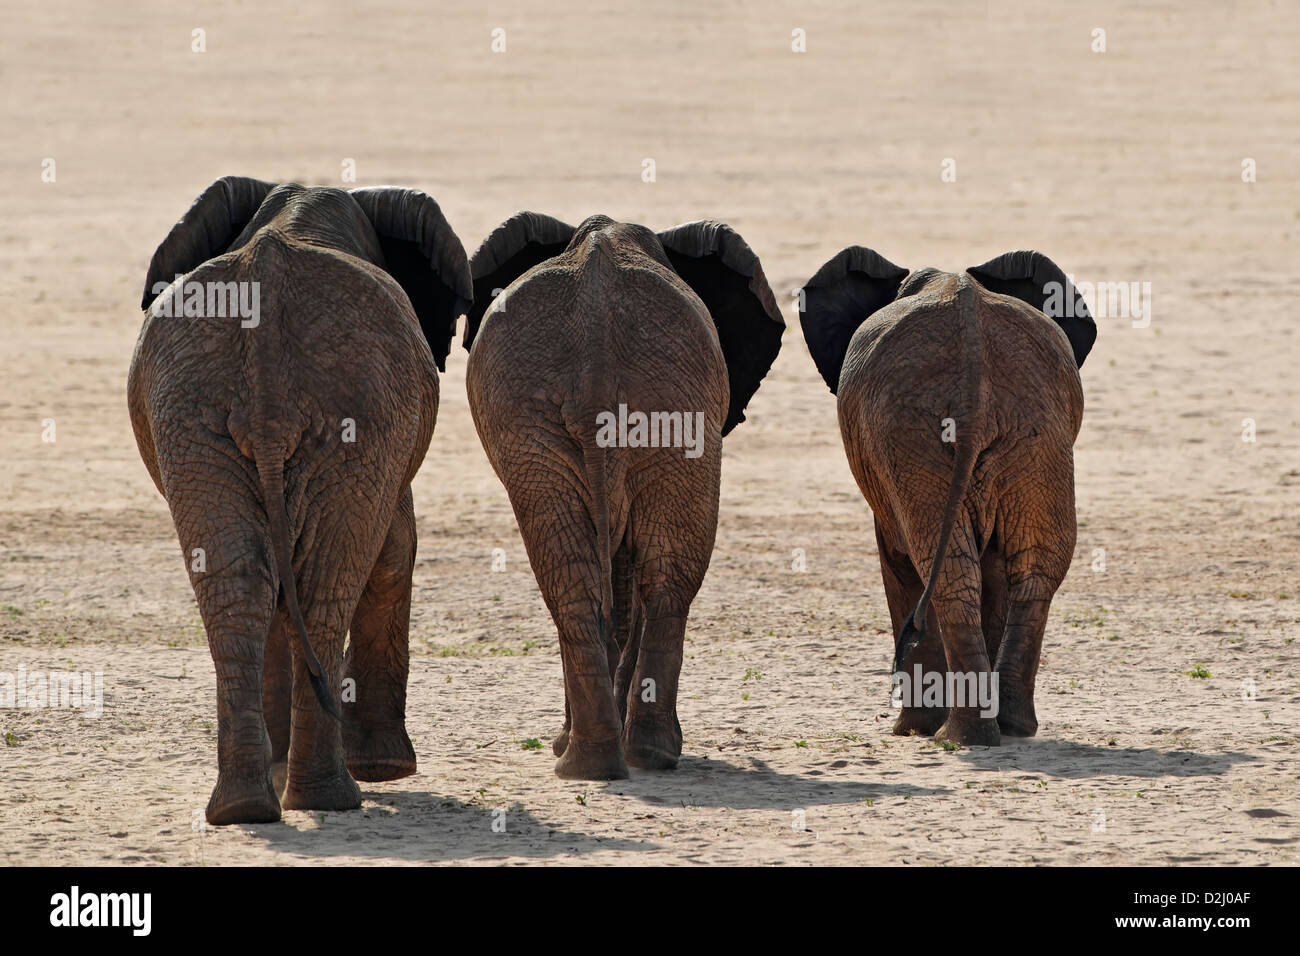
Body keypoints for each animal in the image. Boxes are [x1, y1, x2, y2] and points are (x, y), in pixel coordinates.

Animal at [127, 176, 471, 823]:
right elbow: (396, 553)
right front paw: (387, 771)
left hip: (195, 413)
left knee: (244, 581)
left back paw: (247, 807)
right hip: (350, 412)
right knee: (323, 582)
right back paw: (332, 795)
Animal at [464, 213, 784, 779]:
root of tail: (595, 351)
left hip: (654, 406)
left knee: (596, 575)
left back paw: (608, 761)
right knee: (632, 575)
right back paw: (622, 758)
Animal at [799, 248, 1096, 746]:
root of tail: (974, 367)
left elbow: (898, 560)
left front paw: (908, 731)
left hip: (911, 436)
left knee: (945, 569)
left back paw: (958, 736)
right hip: (1035, 434)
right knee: (1033, 566)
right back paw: (1008, 727)